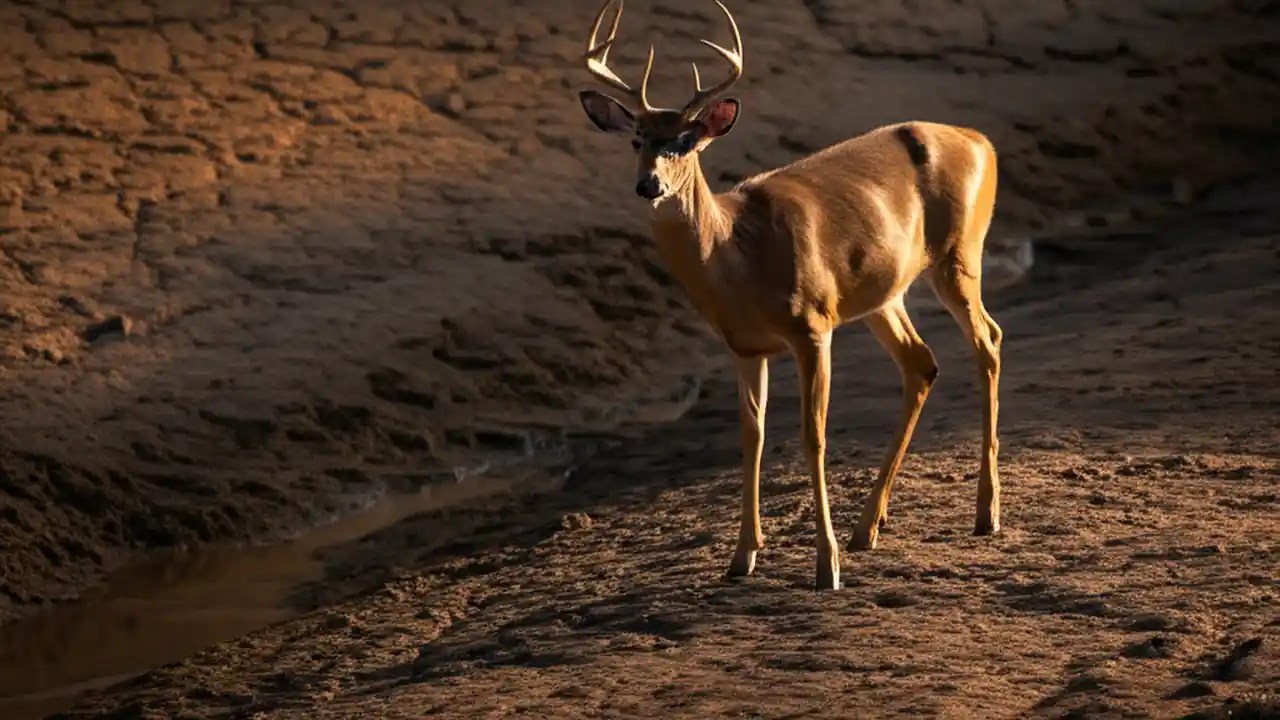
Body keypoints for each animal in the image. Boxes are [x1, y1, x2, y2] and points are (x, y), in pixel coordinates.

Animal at [576, 0, 1004, 590]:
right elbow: (751, 436)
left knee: (988, 341)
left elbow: (813, 434)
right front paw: (742, 557)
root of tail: (982, 140)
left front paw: (826, 566)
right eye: (636, 139)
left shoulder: (812, 325)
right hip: (882, 295)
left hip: (959, 254)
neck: (738, 254)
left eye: (685, 141)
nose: (649, 186)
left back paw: (986, 514)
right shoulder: (744, 346)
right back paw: (868, 527)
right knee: (923, 363)